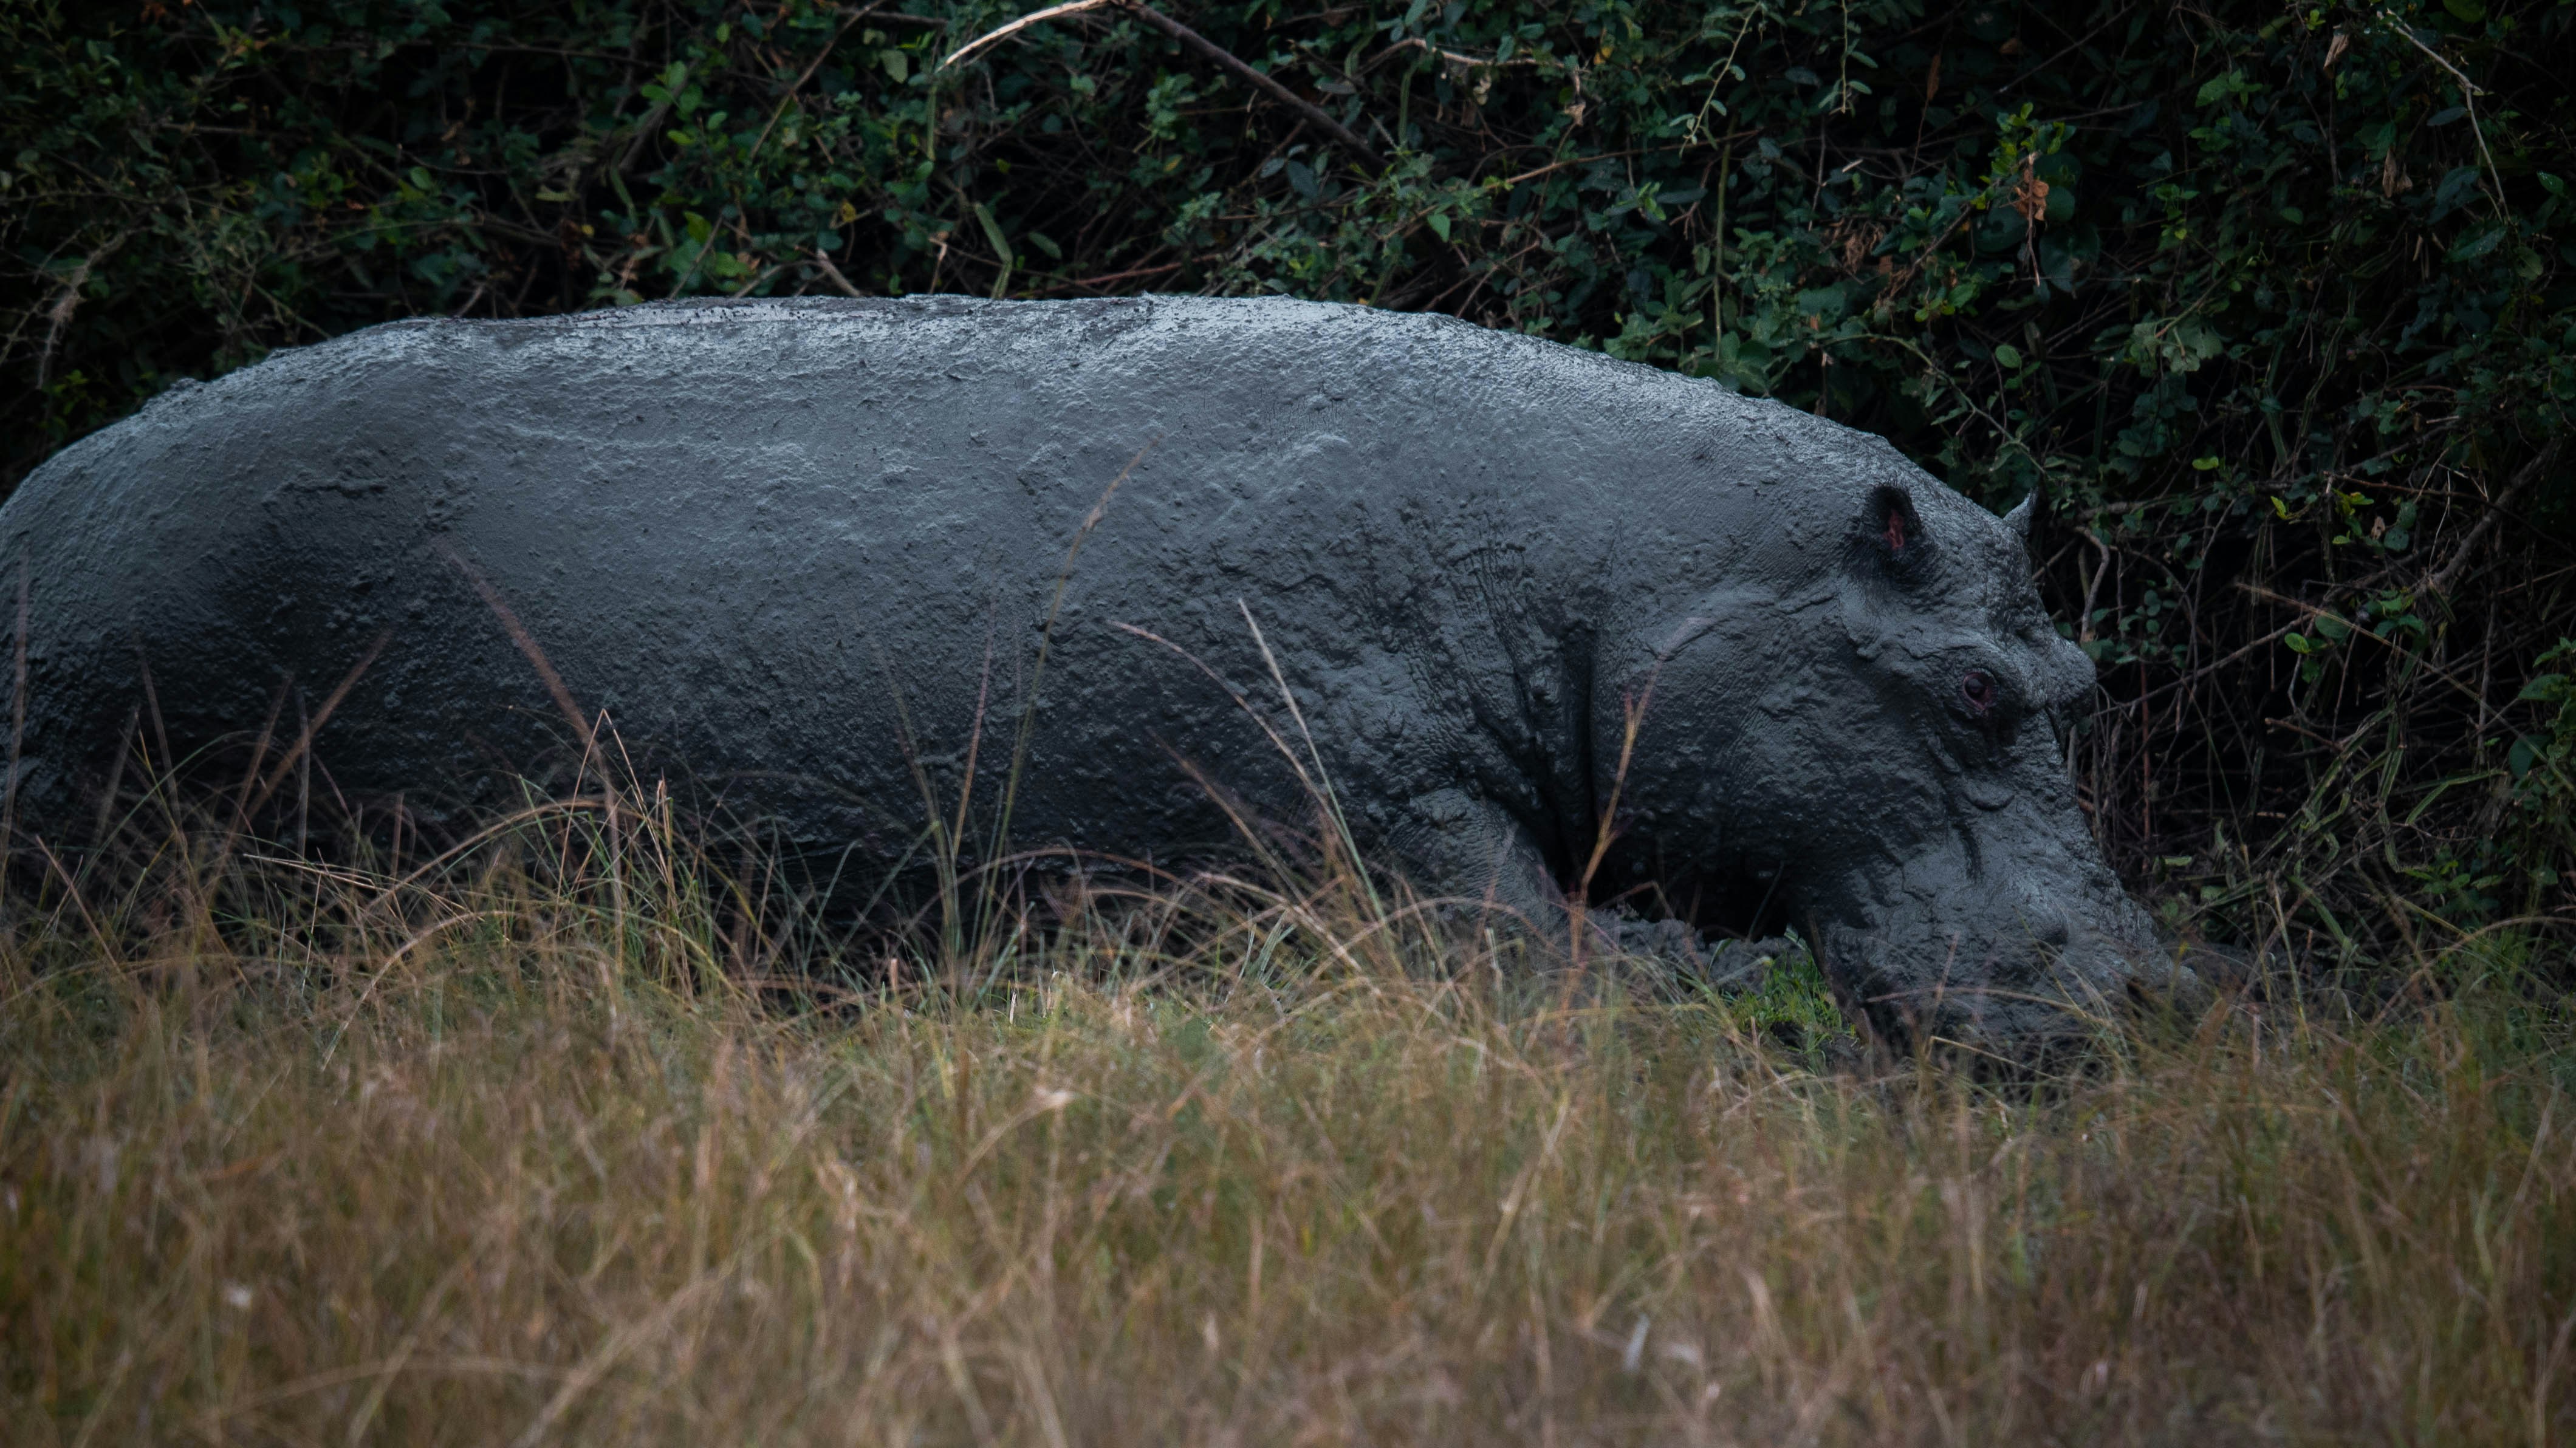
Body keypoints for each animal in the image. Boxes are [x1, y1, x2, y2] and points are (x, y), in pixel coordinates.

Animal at [0, 295, 2200, 1052]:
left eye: (2087, 672)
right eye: (1976, 696)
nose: (2162, 992)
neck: (1622, 581)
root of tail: (30, 505)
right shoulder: (1394, 848)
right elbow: (1630, 970)